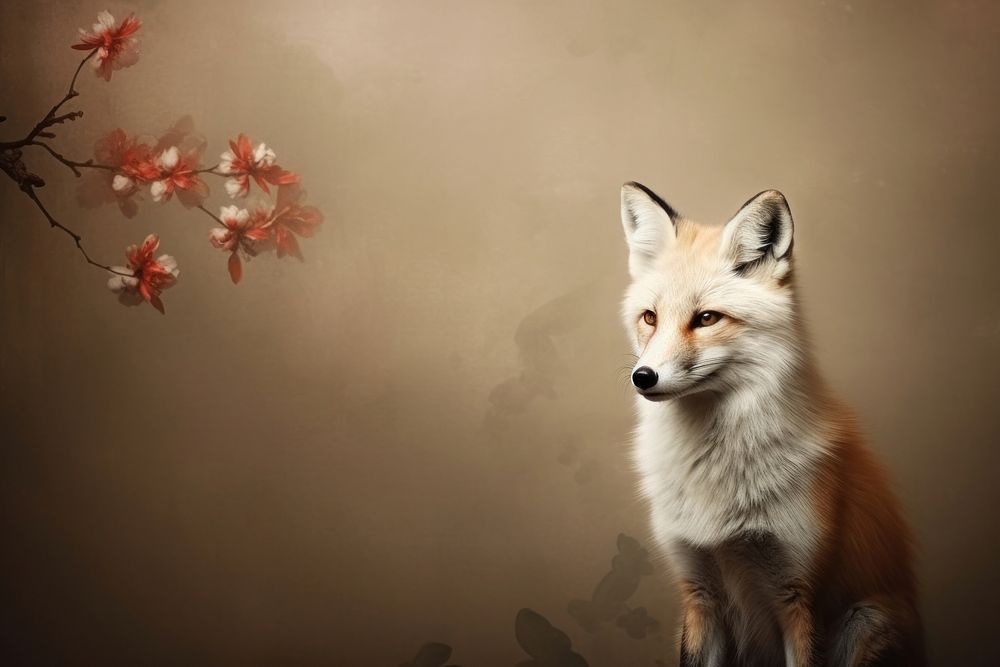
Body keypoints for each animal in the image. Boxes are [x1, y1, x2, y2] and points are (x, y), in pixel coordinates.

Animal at [617, 183, 924, 667]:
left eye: (707, 318)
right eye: (650, 317)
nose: (642, 377)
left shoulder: (800, 595)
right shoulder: (698, 591)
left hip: (866, 621)